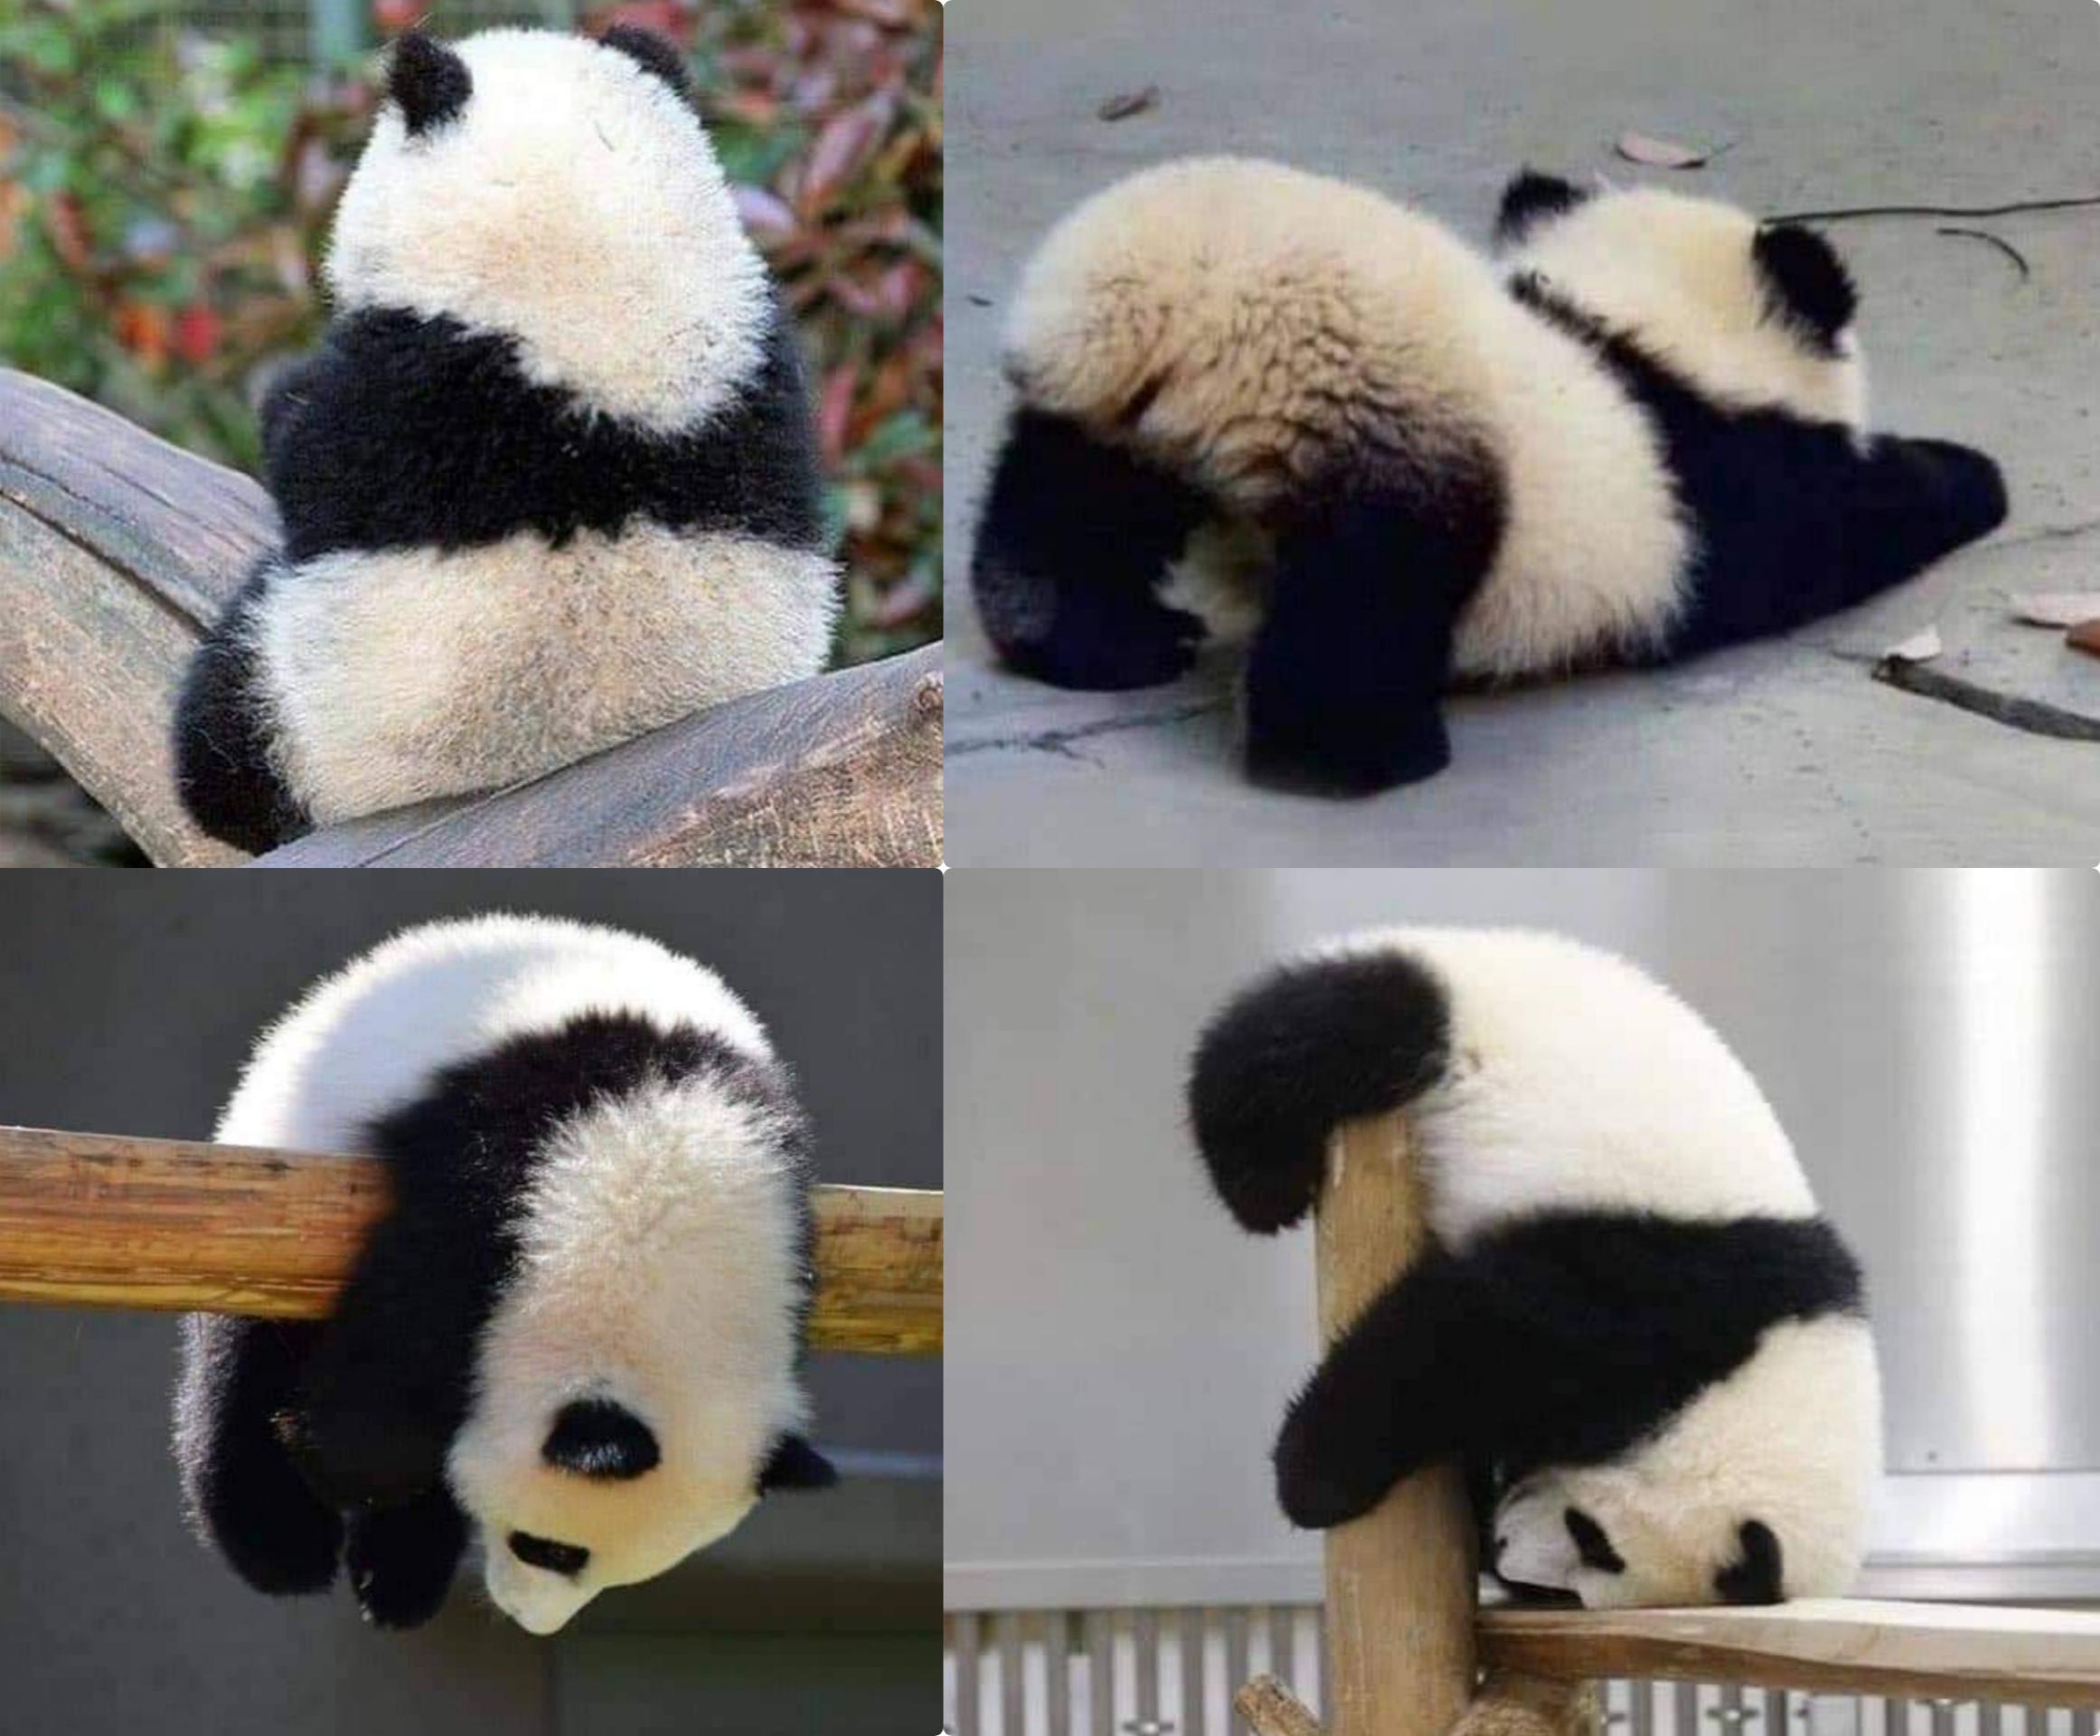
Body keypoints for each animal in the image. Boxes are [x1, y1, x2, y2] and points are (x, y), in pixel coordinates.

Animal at [171, 914, 837, 1633]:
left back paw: (401, 1580)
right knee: (244, 1360)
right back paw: (283, 1549)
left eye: (627, 1574)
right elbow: (391, 1362)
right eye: (548, 1548)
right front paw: (336, 1465)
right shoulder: (486, 1180)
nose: (530, 1621)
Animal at [173, 27, 837, 854]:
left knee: (223, 725)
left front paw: (284, 396)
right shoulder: (761, 365)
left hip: (312, 711)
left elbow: (308, 458)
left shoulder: (408, 399)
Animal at [971, 157, 2008, 792]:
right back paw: (1361, 752)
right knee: (1368, 596)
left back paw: (1096, 636)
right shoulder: (1727, 478)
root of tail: (1161, 326)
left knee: (1065, 506)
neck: (1640, 323)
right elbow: (1835, 528)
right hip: (1382, 427)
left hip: (1118, 425)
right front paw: (1968, 477)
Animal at [1187, 927, 1880, 1608]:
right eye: (1595, 1538)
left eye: (1595, 1560)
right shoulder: (1662, 1300)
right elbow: (1469, 1339)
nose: (1509, 1560)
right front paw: (1313, 1479)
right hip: (1452, 1010)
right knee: (1312, 1034)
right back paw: (1263, 1189)